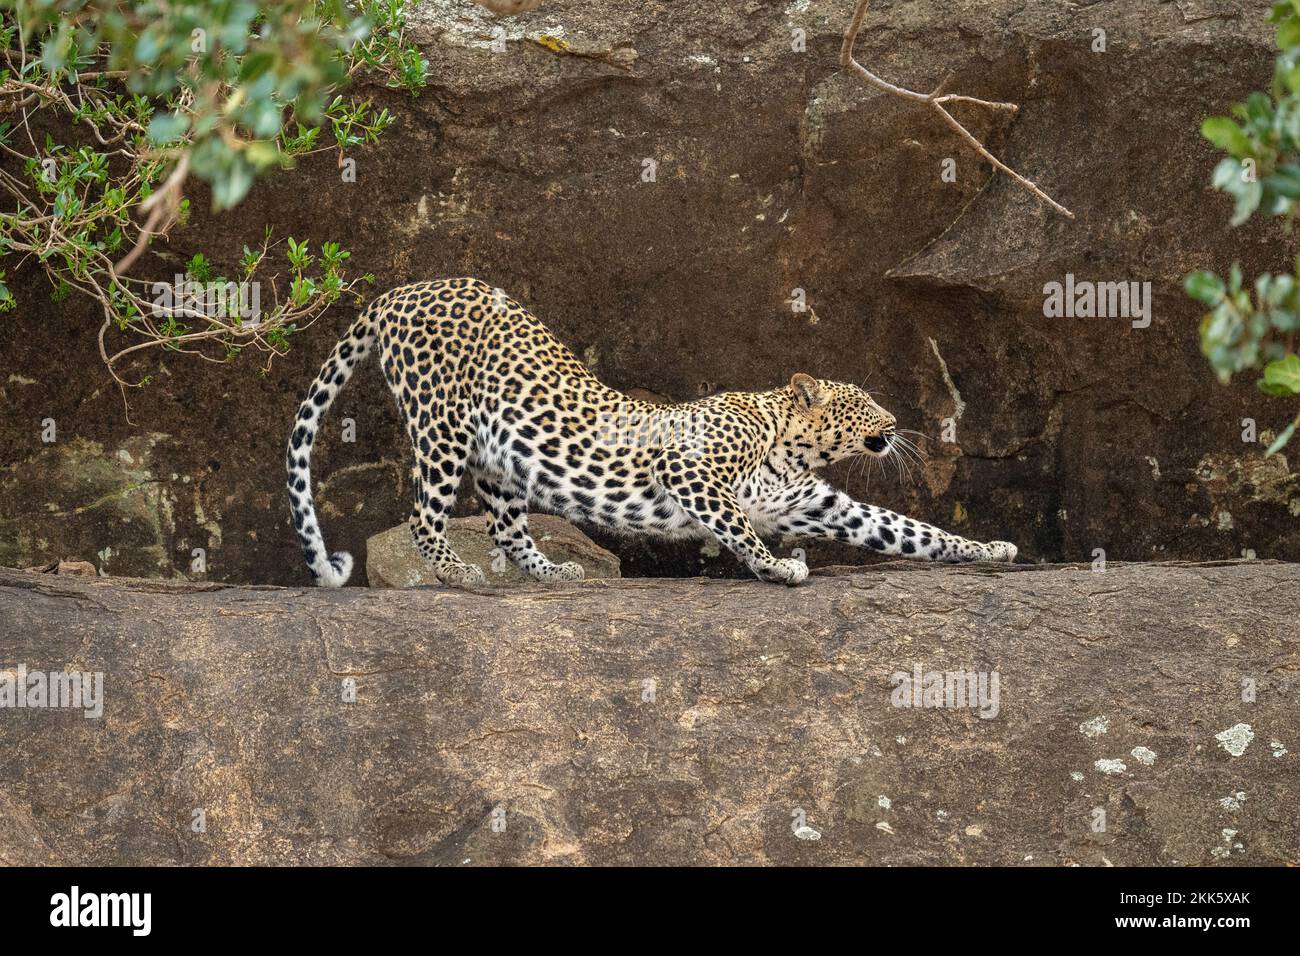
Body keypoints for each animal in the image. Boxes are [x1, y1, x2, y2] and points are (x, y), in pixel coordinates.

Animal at [286, 278, 1018, 587]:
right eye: (860, 403)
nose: (895, 425)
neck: (787, 446)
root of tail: (401, 290)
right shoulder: (691, 471)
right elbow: (738, 526)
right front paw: (778, 566)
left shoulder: (823, 506)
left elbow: (910, 531)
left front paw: (991, 549)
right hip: (441, 427)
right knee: (424, 513)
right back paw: (453, 573)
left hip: (502, 461)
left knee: (505, 525)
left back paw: (553, 572)